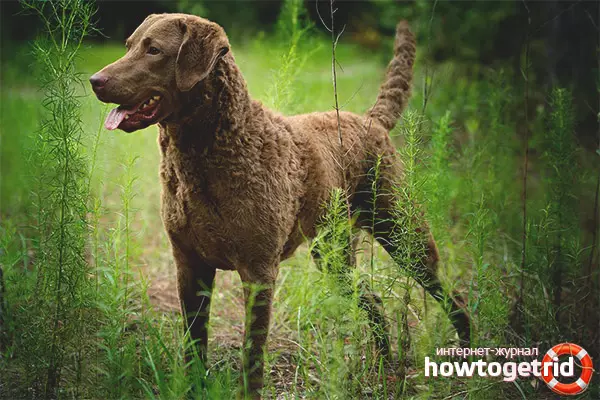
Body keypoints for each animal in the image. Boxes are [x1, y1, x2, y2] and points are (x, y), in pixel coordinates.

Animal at [91, 13, 472, 400]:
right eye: (129, 45)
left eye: (153, 50)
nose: (95, 80)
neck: (214, 149)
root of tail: (371, 120)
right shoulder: (189, 265)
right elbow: (194, 345)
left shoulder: (258, 272)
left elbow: (252, 354)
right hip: (332, 254)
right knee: (375, 301)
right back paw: (383, 366)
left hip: (401, 231)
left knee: (453, 297)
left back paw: (464, 359)